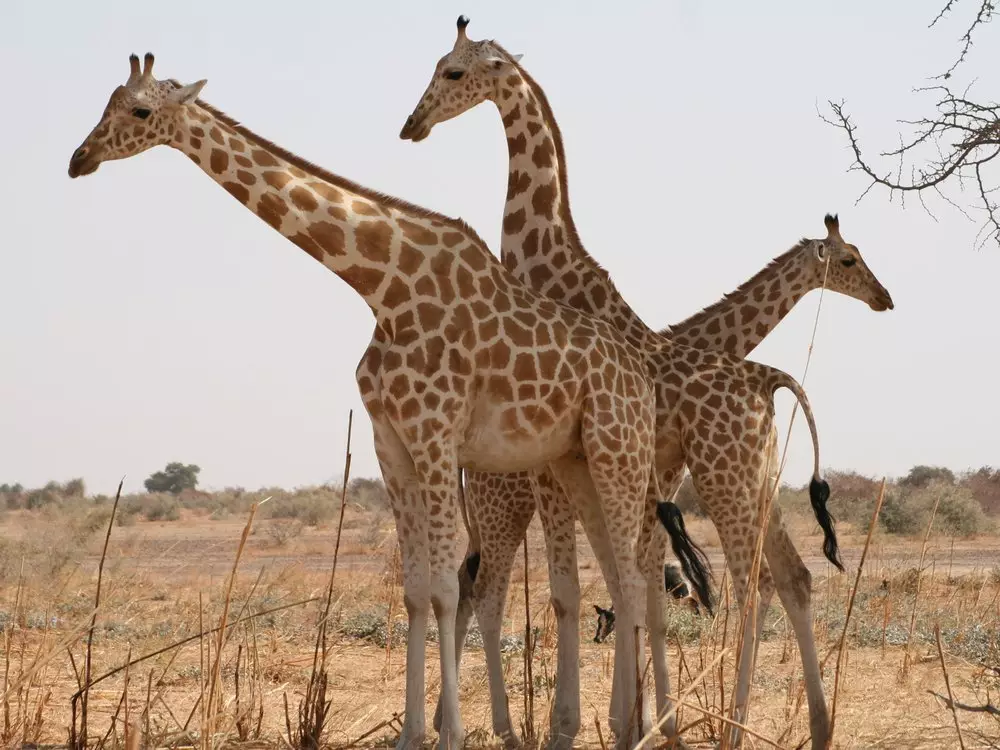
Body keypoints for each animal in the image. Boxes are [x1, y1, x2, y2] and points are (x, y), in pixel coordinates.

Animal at [66, 50, 676, 748]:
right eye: (107, 102)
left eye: (140, 111)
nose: (79, 158)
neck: (383, 286)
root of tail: (640, 377)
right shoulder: (392, 445)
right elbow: (414, 590)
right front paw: (413, 732)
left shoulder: (436, 437)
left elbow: (445, 586)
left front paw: (450, 733)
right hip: (575, 463)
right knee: (623, 580)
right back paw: (625, 726)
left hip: (617, 453)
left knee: (633, 576)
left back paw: (640, 729)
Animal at [402, 19, 896, 750]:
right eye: (851, 258)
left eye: (454, 73)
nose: (412, 125)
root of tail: (769, 380)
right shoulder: (608, 477)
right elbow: (606, 592)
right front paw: (623, 721)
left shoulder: (626, 478)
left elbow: (620, 590)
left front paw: (628, 722)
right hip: (521, 500)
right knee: (483, 590)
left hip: (718, 483)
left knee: (764, 582)